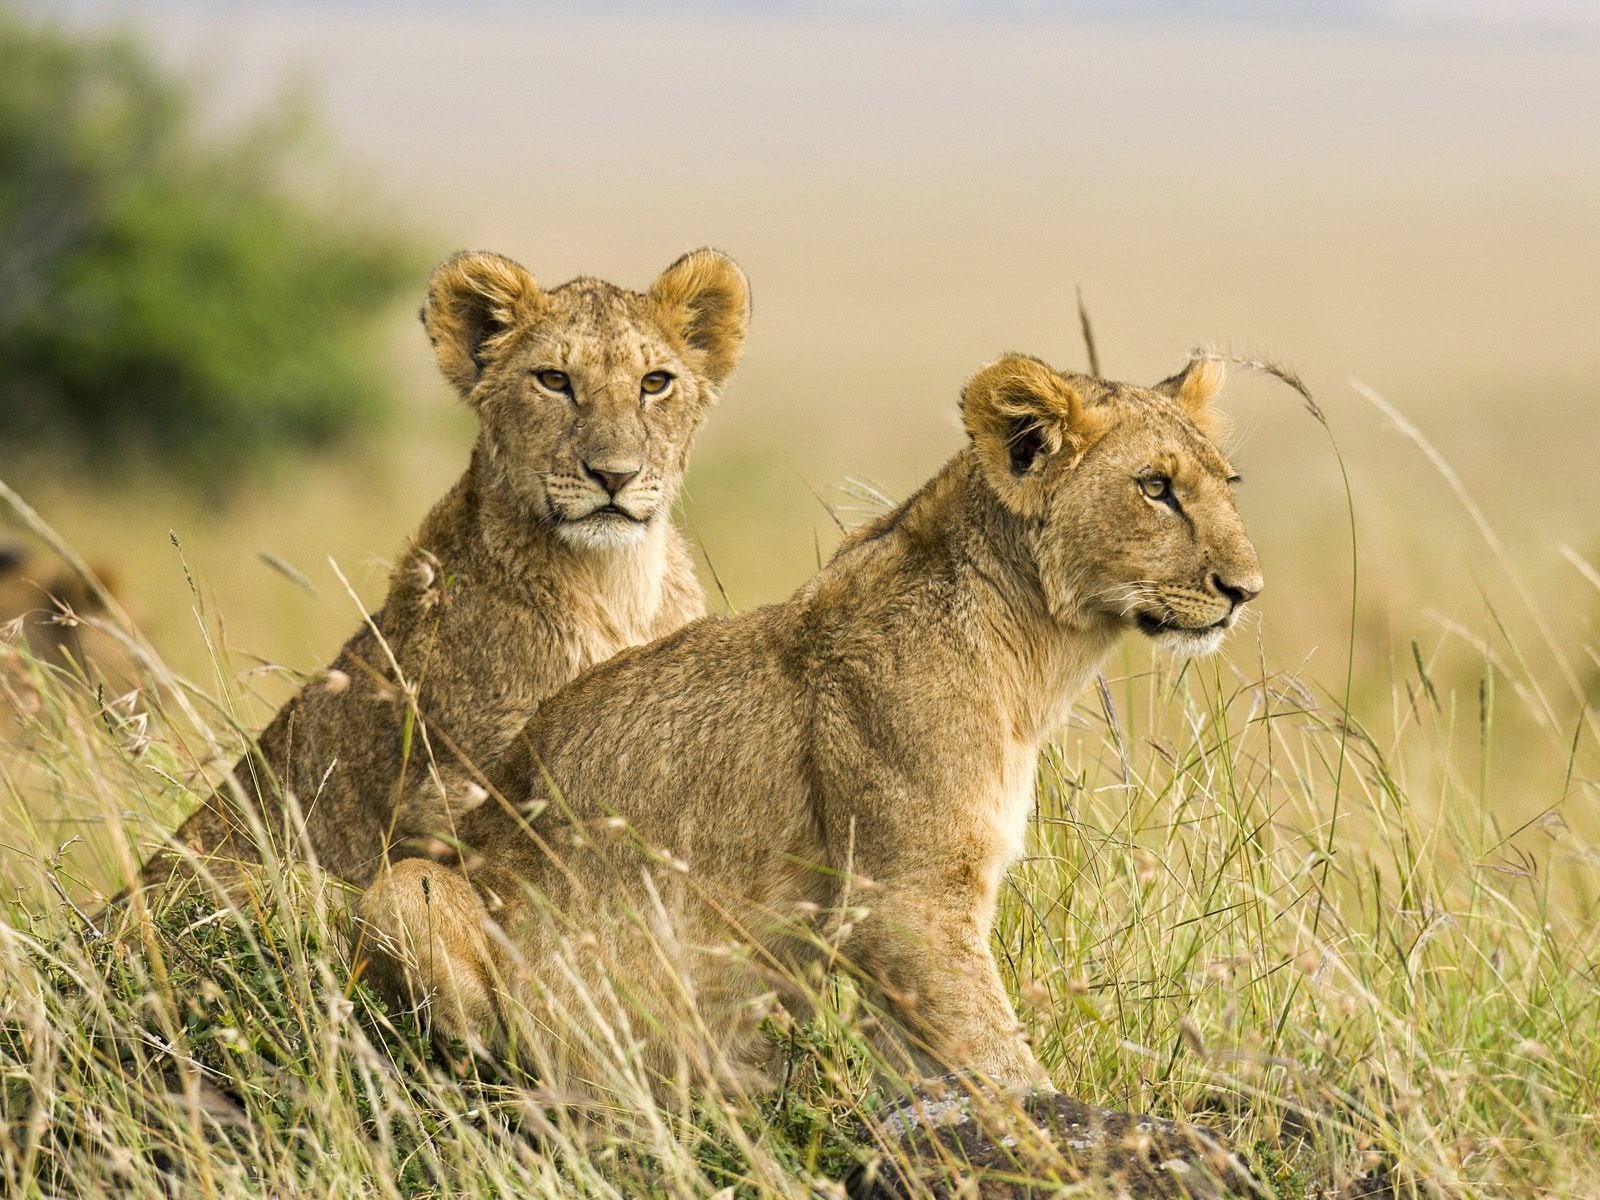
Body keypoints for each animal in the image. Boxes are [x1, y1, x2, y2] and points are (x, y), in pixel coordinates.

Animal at [356, 352, 1262, 1102]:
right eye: (1155, 487)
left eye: (1228, 481)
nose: (1246, 590)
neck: (1037, 658)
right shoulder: (904, 900)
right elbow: (1000, 1059)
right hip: (408, 887)